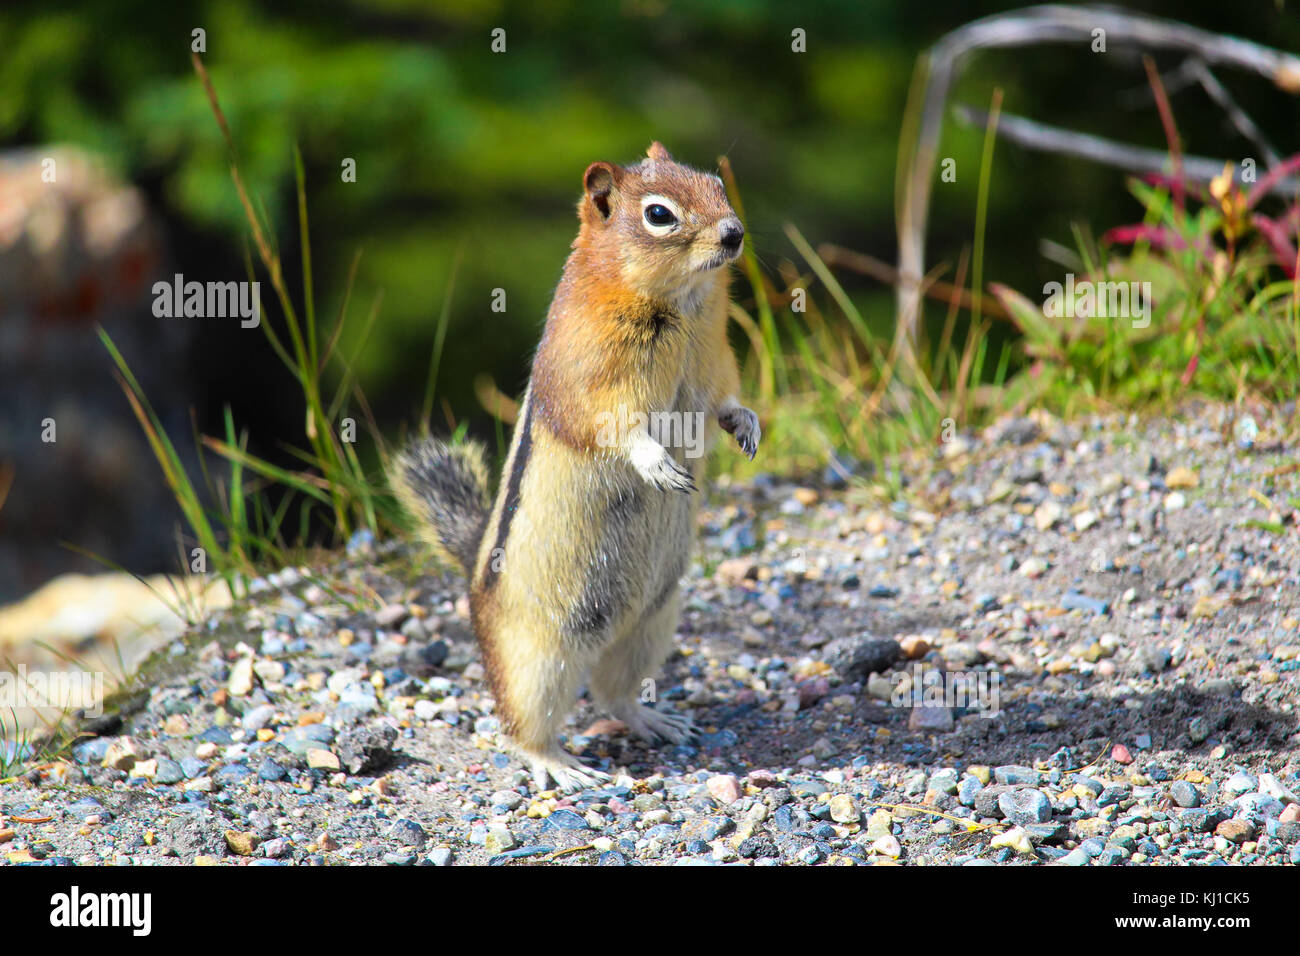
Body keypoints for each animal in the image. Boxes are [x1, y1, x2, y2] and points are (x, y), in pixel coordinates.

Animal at [391, 142, 760, 792]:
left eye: (716, 184)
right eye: (659, 215)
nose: (734, 233)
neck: (683, 304)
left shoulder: (715, 363)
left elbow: (724, 404)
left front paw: (747, 425)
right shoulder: (587, 371)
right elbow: (612, 426)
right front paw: (657, 463)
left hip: (652, 626)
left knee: (614, 694)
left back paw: (653, 719)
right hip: (535, 659)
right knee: (521, 724)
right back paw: (558, 764)